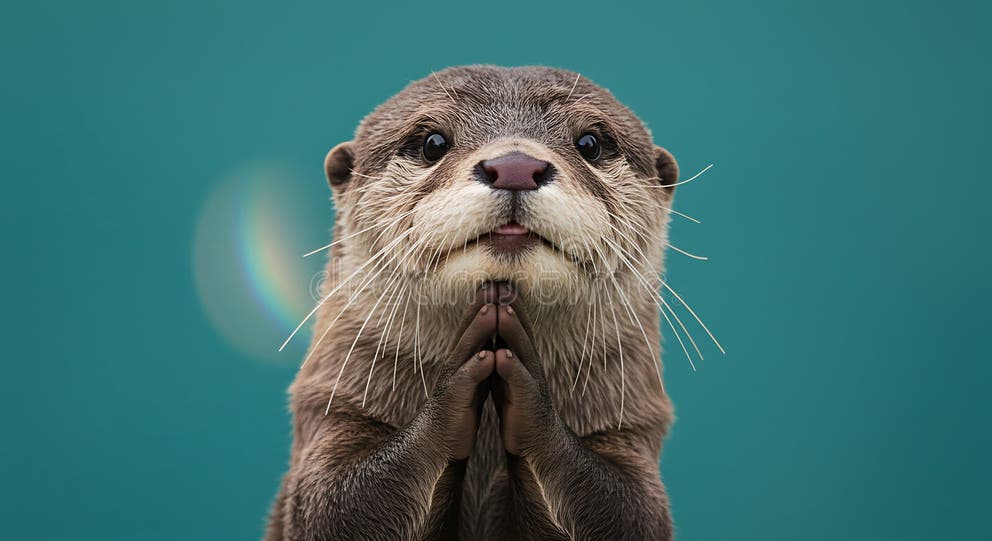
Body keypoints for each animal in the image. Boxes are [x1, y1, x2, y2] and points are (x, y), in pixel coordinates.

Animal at [265, 65, 691, 540]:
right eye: (432, 143)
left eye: (591, 144)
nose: (515, 166)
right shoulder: (332, 401)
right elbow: (333, 505)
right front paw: (457, 379)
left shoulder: (634, 421)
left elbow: (631, 509)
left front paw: (528, 388)